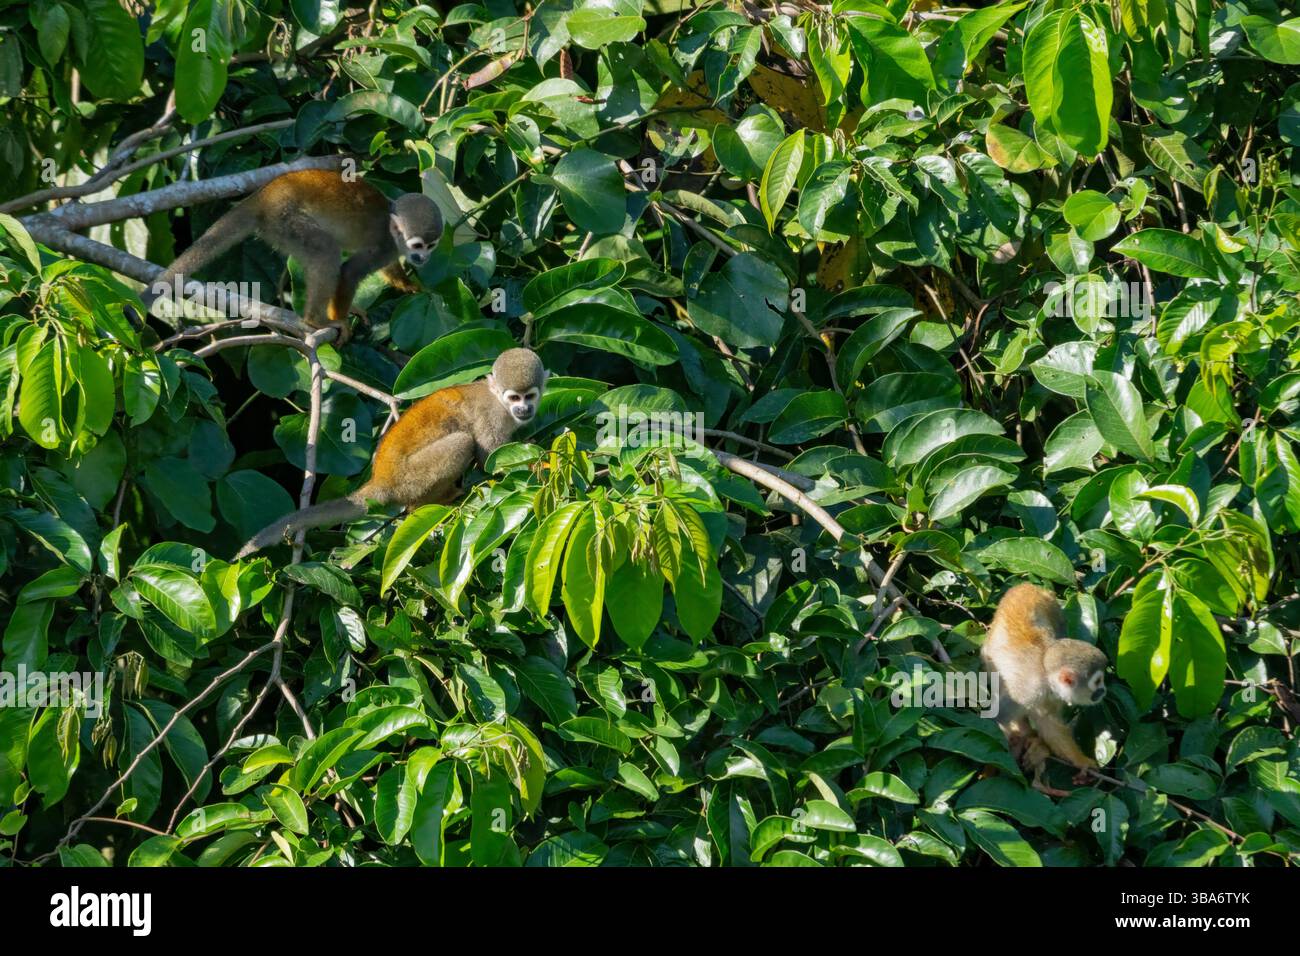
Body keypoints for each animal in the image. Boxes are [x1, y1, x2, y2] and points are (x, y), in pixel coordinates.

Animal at [145, 169, 442, 341]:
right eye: (417, 245)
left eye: (432, 246)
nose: (423, 259)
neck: (394, 233)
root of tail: (262, 196)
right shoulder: (383, 245)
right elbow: (349, 272)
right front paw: (338, 316)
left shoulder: (391, 250)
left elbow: (387, 269)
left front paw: (409, 285)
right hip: (284, 218)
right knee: (325, 250)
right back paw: (317, 319)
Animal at [235, 348, 548, 558]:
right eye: (514, 397)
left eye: (529, 396)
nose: (524, 409)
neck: (500, 403)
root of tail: (382, 480)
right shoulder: (491, 416)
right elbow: (490, 459)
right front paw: (535, 462)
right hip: (413, 477)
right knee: (462, 442)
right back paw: (435, 500)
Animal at [980, 583, 1108, 783]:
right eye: (1097, 682)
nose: (1103, 690)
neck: (1046, 676)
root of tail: (1024, 586)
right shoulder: (1028, 691)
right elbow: (995, 719)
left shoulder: (1054, 695)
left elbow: (1050, 725)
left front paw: (1081, 761)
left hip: (1052, 607)